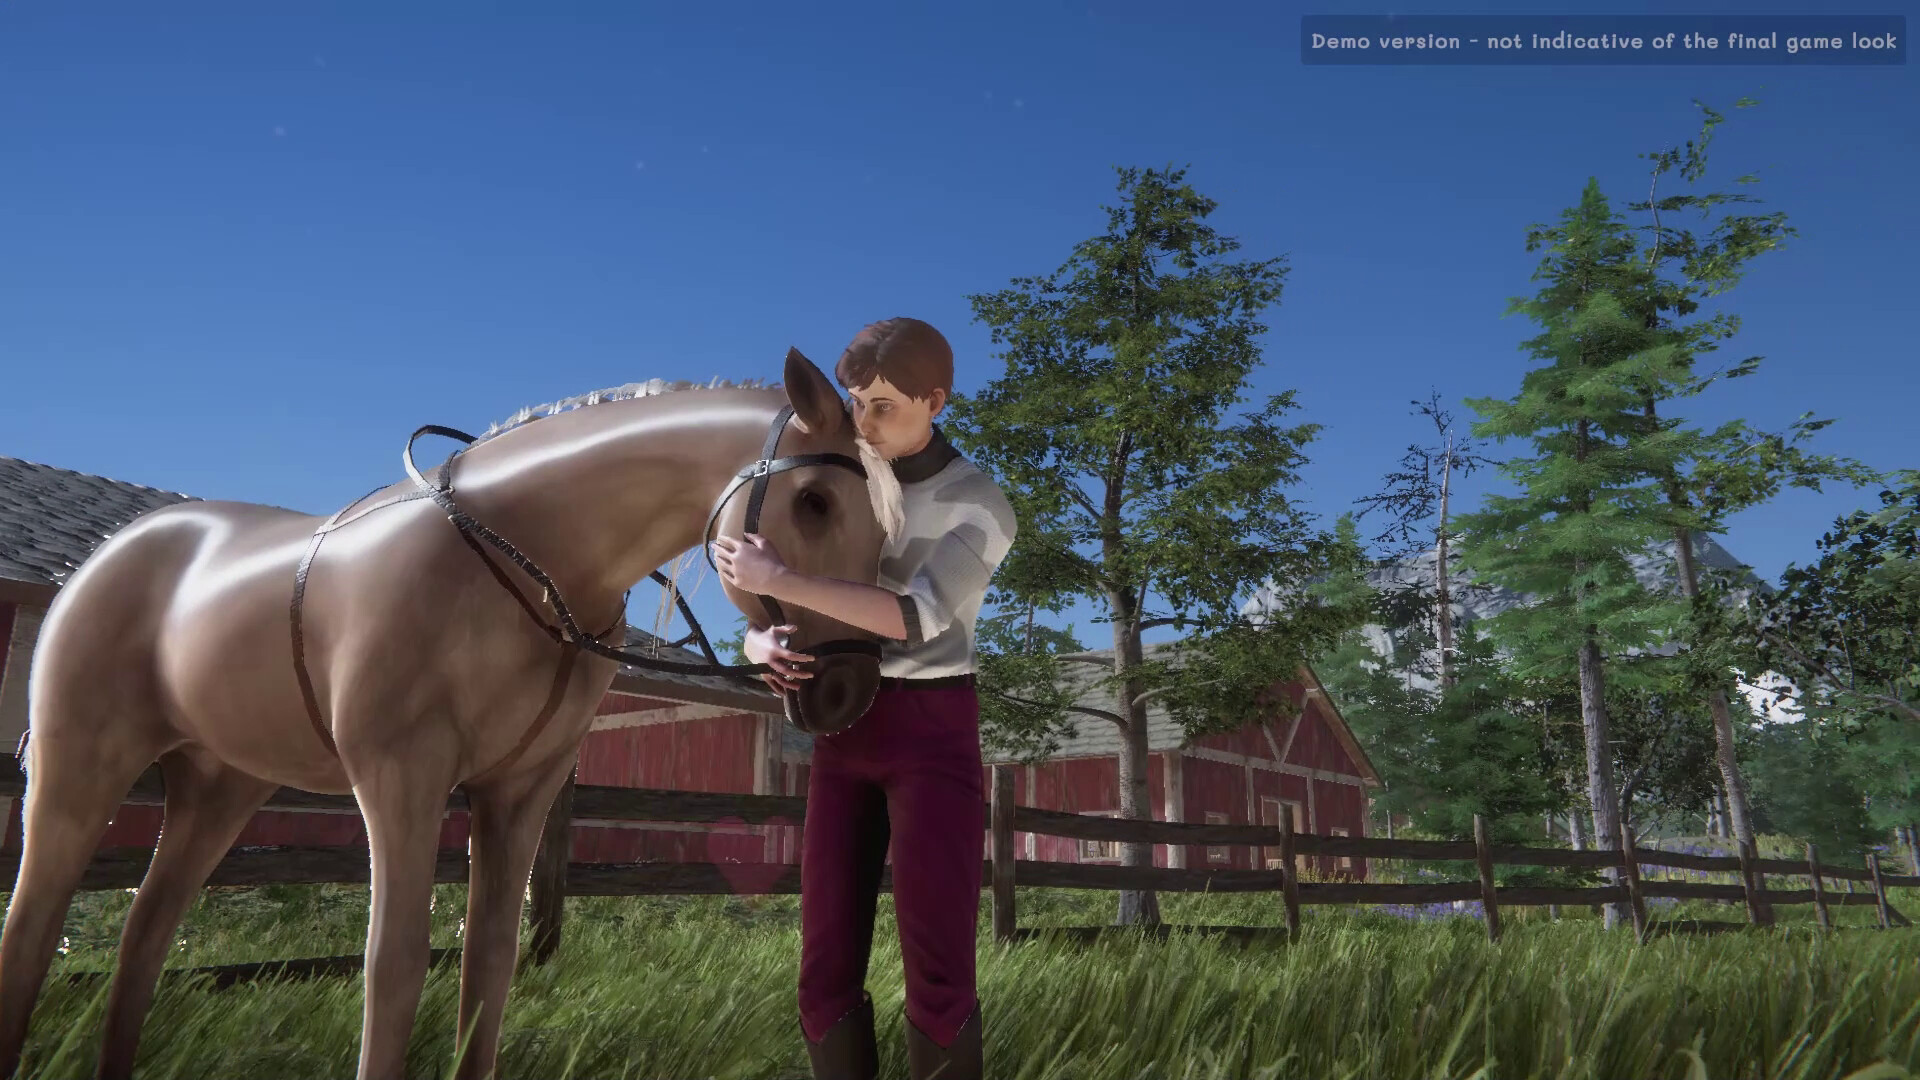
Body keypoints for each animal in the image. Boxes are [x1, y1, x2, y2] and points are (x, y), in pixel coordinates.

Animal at [0, 348, 897, 1080]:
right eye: (814, 502)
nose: (847, 689)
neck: (532, 563)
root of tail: (109, 555)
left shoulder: (521, 790)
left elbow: (488, 963)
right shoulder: (403, 776)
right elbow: (392, 965)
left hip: (216, 787)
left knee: (144, 933)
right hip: (79, 772)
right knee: (32, 928)